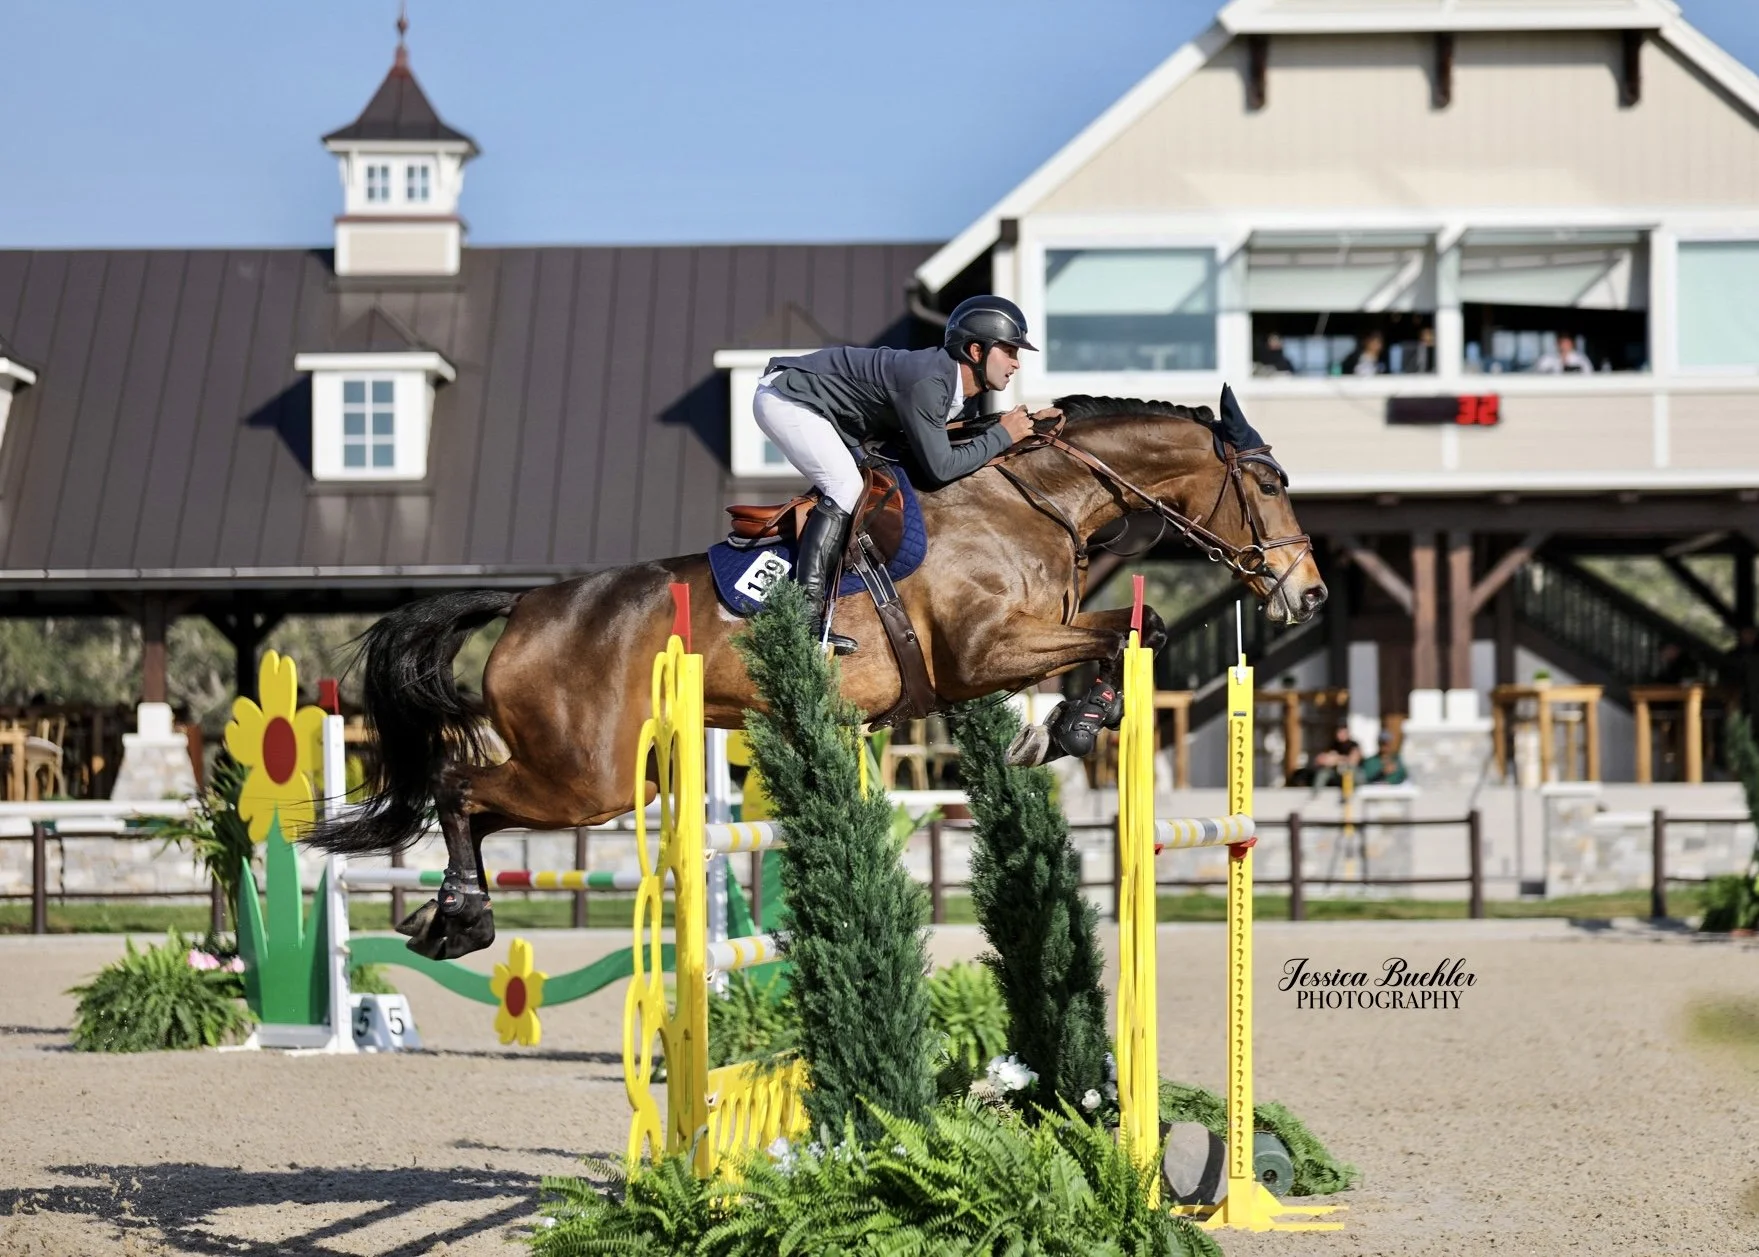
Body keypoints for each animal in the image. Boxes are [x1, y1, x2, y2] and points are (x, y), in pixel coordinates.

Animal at [305, 389, 1327, 959]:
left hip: (600, 776)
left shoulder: (1018, 645)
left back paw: (445, 918)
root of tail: (523, 605)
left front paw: (1064, 726)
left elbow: (1131, 627)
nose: (1307, 595)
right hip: (587, 774)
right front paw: (1063, 728)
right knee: (458, 787)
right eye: (1271, 485)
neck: (1029, 499)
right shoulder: (982, 651)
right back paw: (461, 916)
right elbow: (1128, 628)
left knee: (467, 798)